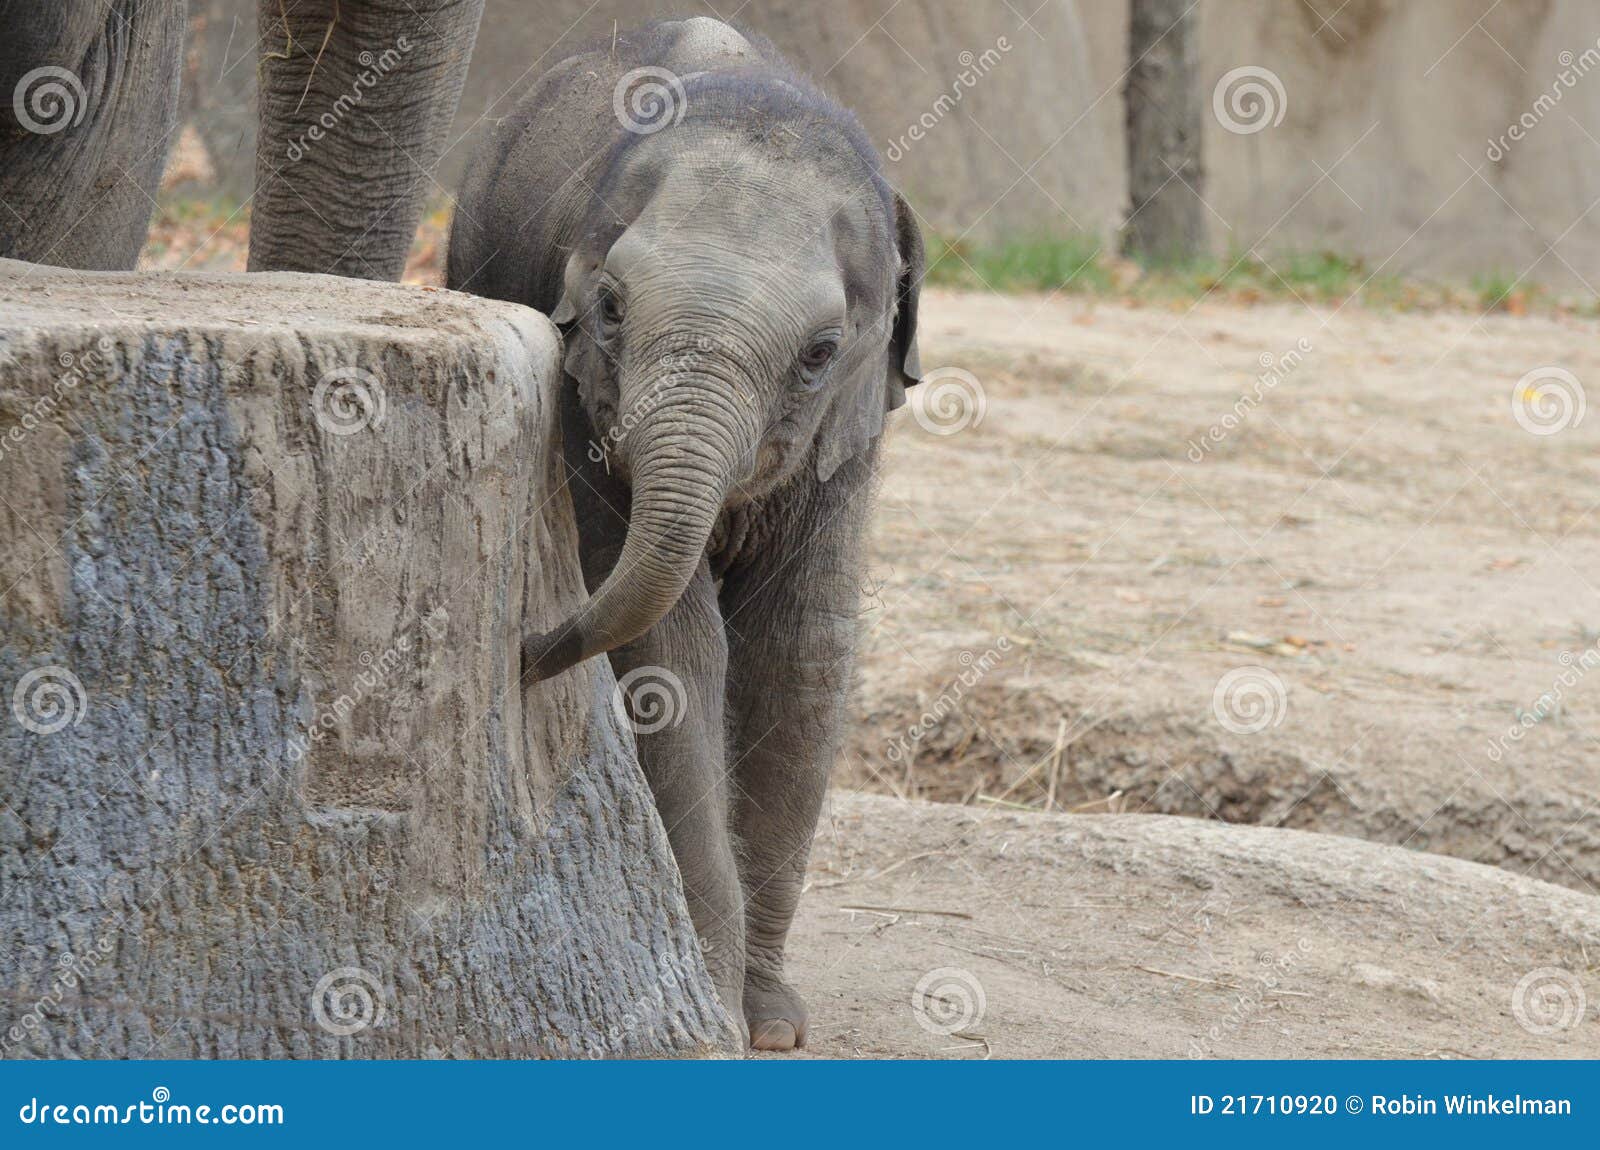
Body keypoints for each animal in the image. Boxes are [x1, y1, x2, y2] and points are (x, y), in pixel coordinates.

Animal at [446, 16, 924, 1050]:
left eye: (822, 353)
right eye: (610, 309)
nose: (525, 647)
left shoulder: (849, 434)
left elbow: (800, 652)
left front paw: (772, 1025)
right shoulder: (582, 404)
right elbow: (673, 652)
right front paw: (720, 1012)